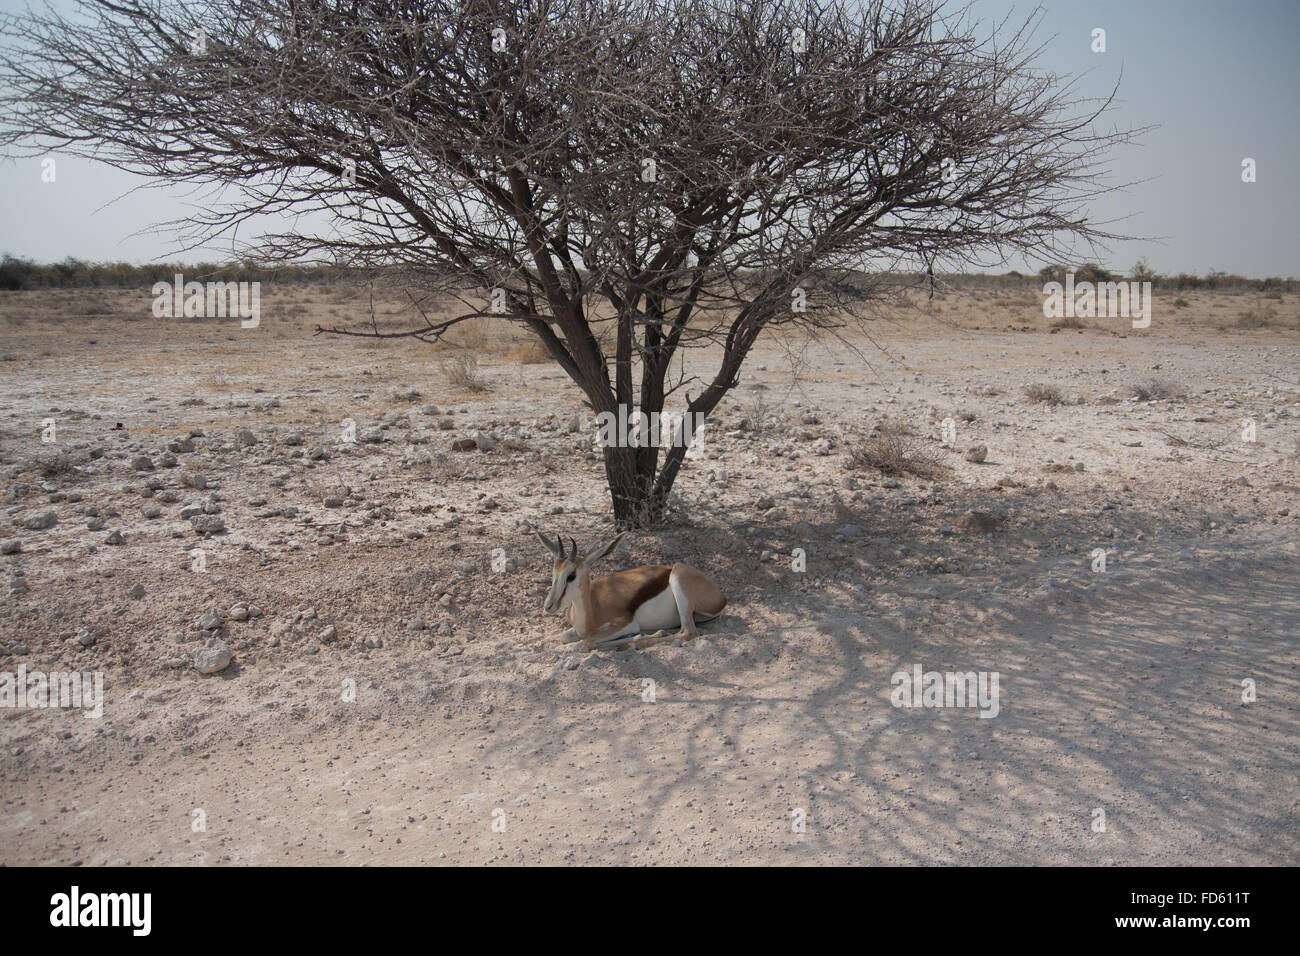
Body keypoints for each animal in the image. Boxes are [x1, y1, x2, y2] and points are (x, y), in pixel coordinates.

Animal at [535, 531, 727, 649]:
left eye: (571, 575)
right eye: (554, 573)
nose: (548, 605)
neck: (591, 612)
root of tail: (721, 598)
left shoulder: (626, 623)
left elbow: (589, 641)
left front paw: (636, 638)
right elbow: (567, 637)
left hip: (678, 579)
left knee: (688, 632)